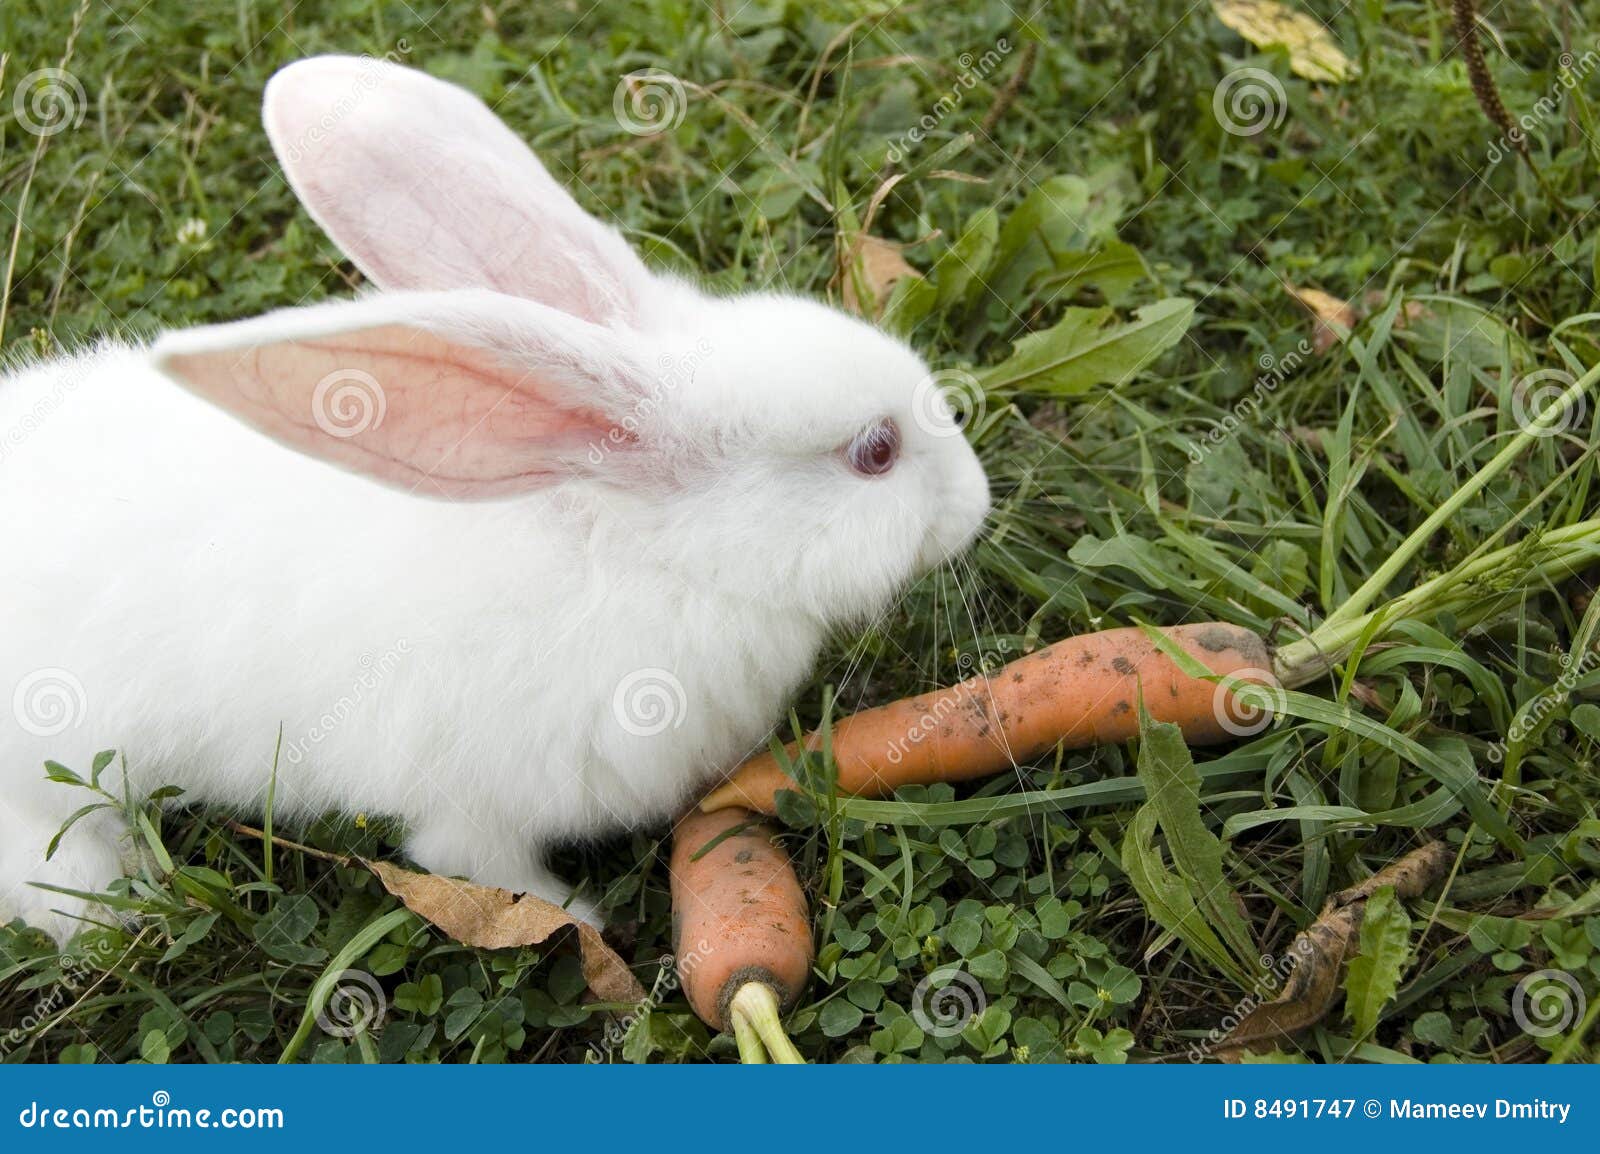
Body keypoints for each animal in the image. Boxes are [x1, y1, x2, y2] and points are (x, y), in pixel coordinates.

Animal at [0, 55, 991, 945]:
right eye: (875, 452)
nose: (977, 506)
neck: (633, 550)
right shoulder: (473, 802)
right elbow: (482, 866)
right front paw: (578, 918)